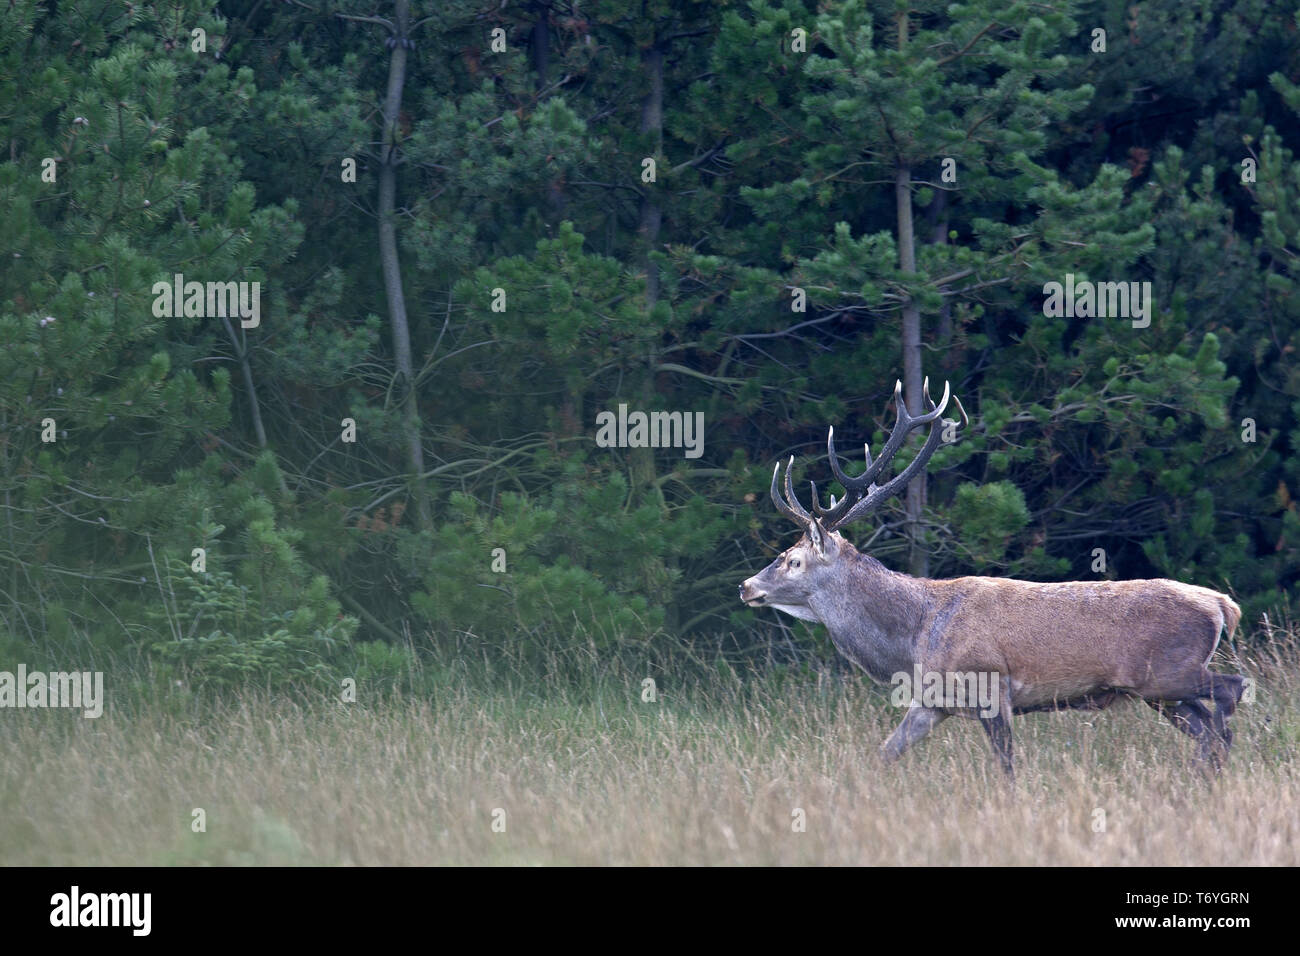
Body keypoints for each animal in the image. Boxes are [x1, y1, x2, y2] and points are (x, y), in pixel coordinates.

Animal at [739, 377, 1246, 779]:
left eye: (793, 560)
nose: (747, 586)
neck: (914, 639)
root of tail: (1224, 605)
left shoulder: (989, 684)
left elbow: (1006, 766)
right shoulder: (932, 702)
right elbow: (883, 754)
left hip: (1168, 672)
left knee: (1231, 694)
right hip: (1157, 693)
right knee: (1205, 725)